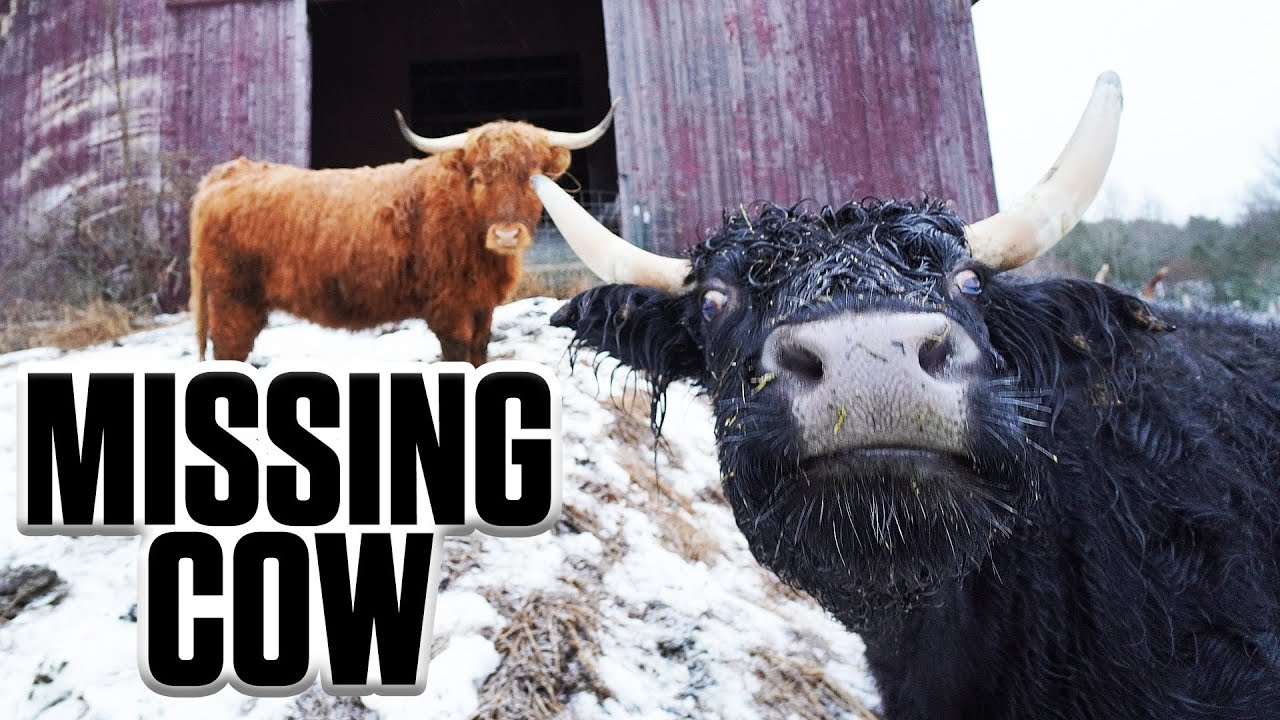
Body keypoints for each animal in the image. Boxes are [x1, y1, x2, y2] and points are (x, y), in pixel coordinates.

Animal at [188, 101, 618, 365]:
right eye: (479, 178)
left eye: (531, 178)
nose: (507, 235)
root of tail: (228, 172)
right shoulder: (449, 311)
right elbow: (458, 358)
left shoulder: (481, 308)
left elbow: (480, 355)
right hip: (232, 301)